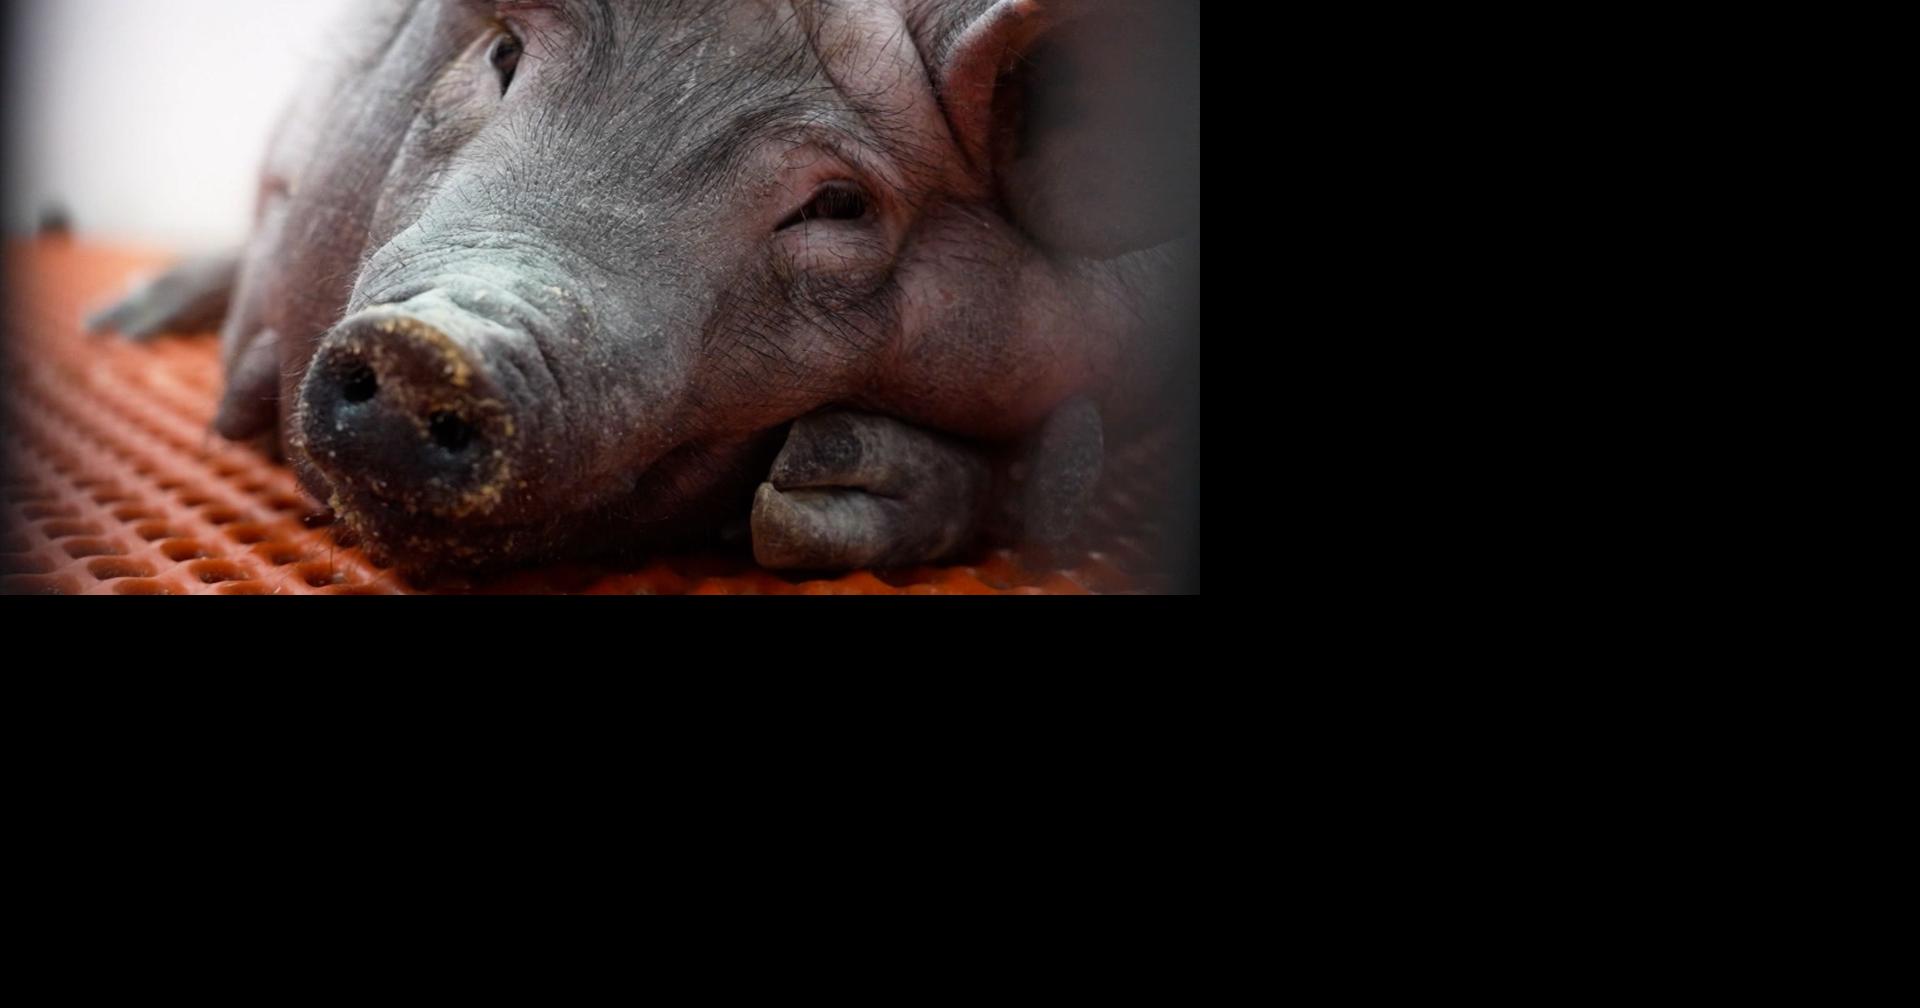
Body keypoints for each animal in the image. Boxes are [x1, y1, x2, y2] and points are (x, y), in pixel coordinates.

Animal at [91, 0, 1199, 576]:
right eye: (502, 53)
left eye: (837, 203)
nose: (434, 345)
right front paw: (235, 400)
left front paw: (811, 498)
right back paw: (127, 323)